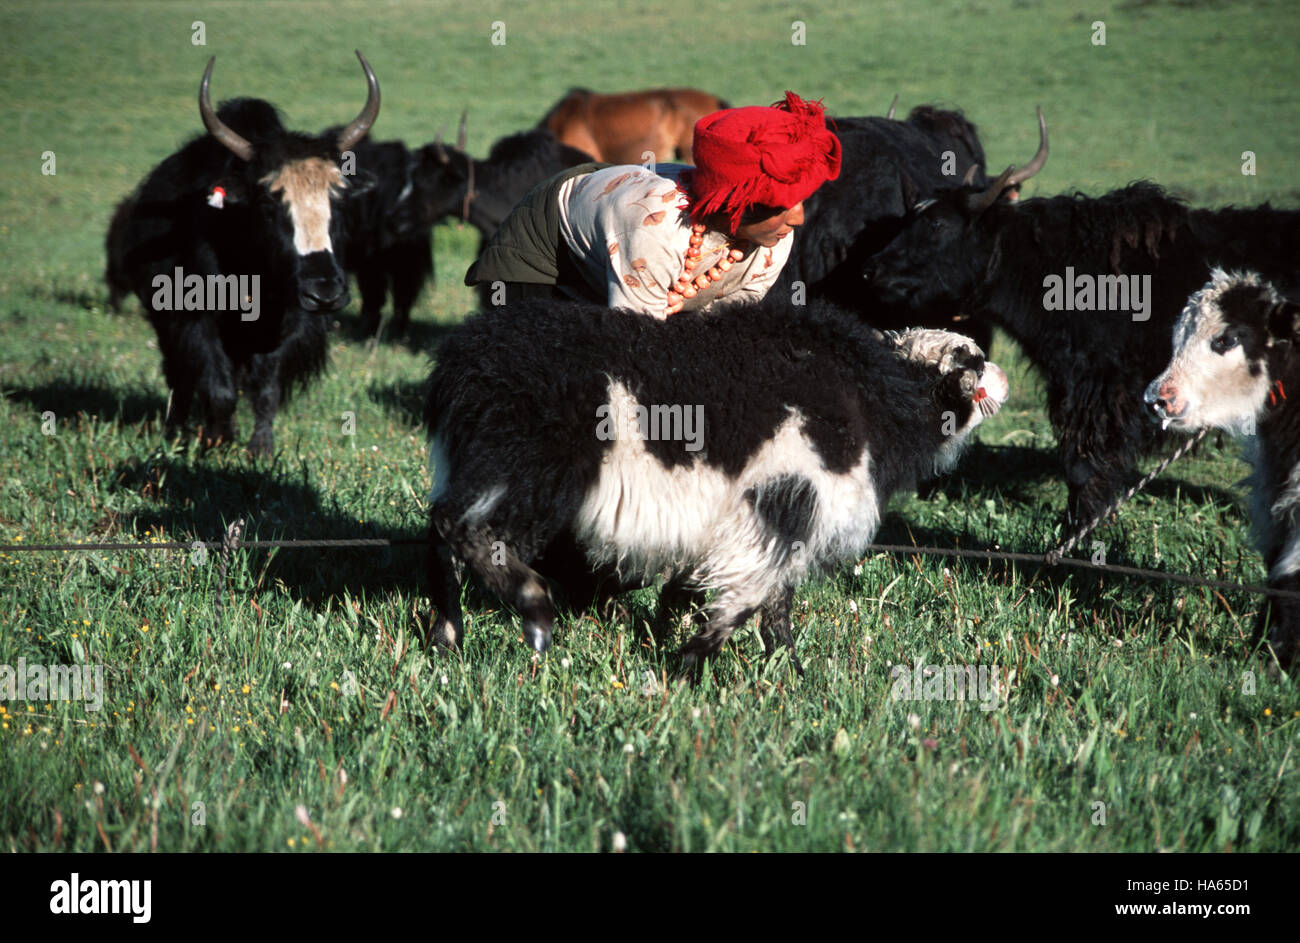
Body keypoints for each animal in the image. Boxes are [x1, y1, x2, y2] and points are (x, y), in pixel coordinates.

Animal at [111, 52, 380, 455]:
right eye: (268, 203)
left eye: (341, 200)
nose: (324, 291)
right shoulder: (192, 318)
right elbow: (217, 386)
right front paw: (217, 442)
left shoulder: (289, 326)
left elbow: (266, 387)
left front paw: (261, 449)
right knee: (180, 376)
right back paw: (177, 431)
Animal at [422, 295, 1008, 672]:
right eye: (974, 360)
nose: (1003, 379)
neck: (879, 400)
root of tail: (462, 363)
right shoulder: (789, 496)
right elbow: (755, 592)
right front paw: (689, 660)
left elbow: (772, 602)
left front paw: (787, 673)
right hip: (531, 468)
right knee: (465, 529)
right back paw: (533, 612)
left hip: (483, 464)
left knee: (443, 531)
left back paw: (446, 639)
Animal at [863, 163, 1300, 524]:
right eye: (907, 220)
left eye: (938, 224)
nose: (873, 271)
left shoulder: (1097, 389)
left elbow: (1082, 463)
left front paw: (1079, 527)